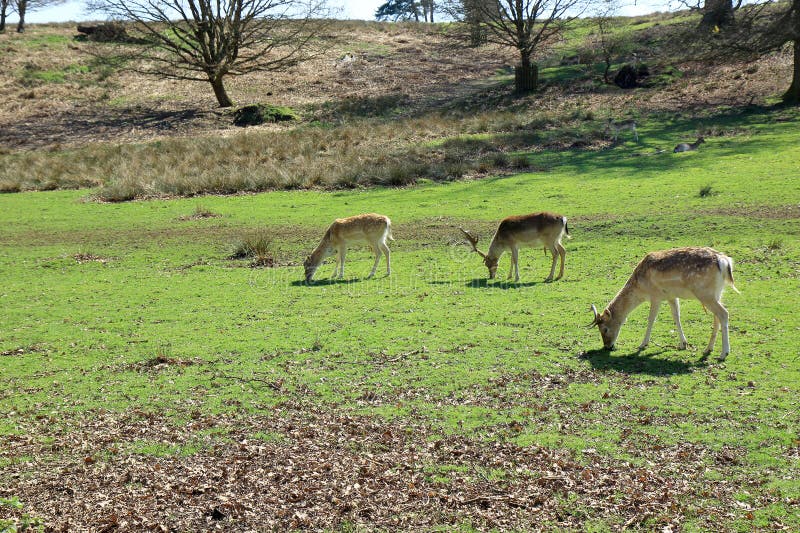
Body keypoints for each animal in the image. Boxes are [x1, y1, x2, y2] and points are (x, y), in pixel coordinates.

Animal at [587, 247, 739, 361]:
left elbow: (651, 319)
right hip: (717, 292)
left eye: (604, 329)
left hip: (704, 293)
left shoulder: (655, 296)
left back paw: (723, 353)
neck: (640, 288)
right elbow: (676, 317)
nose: (607, 346)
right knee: (717, 317)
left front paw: (643, 344)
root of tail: (724, 261)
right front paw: (683, 344)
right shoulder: (671, 296)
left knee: (724, 313)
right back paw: (708, 349)